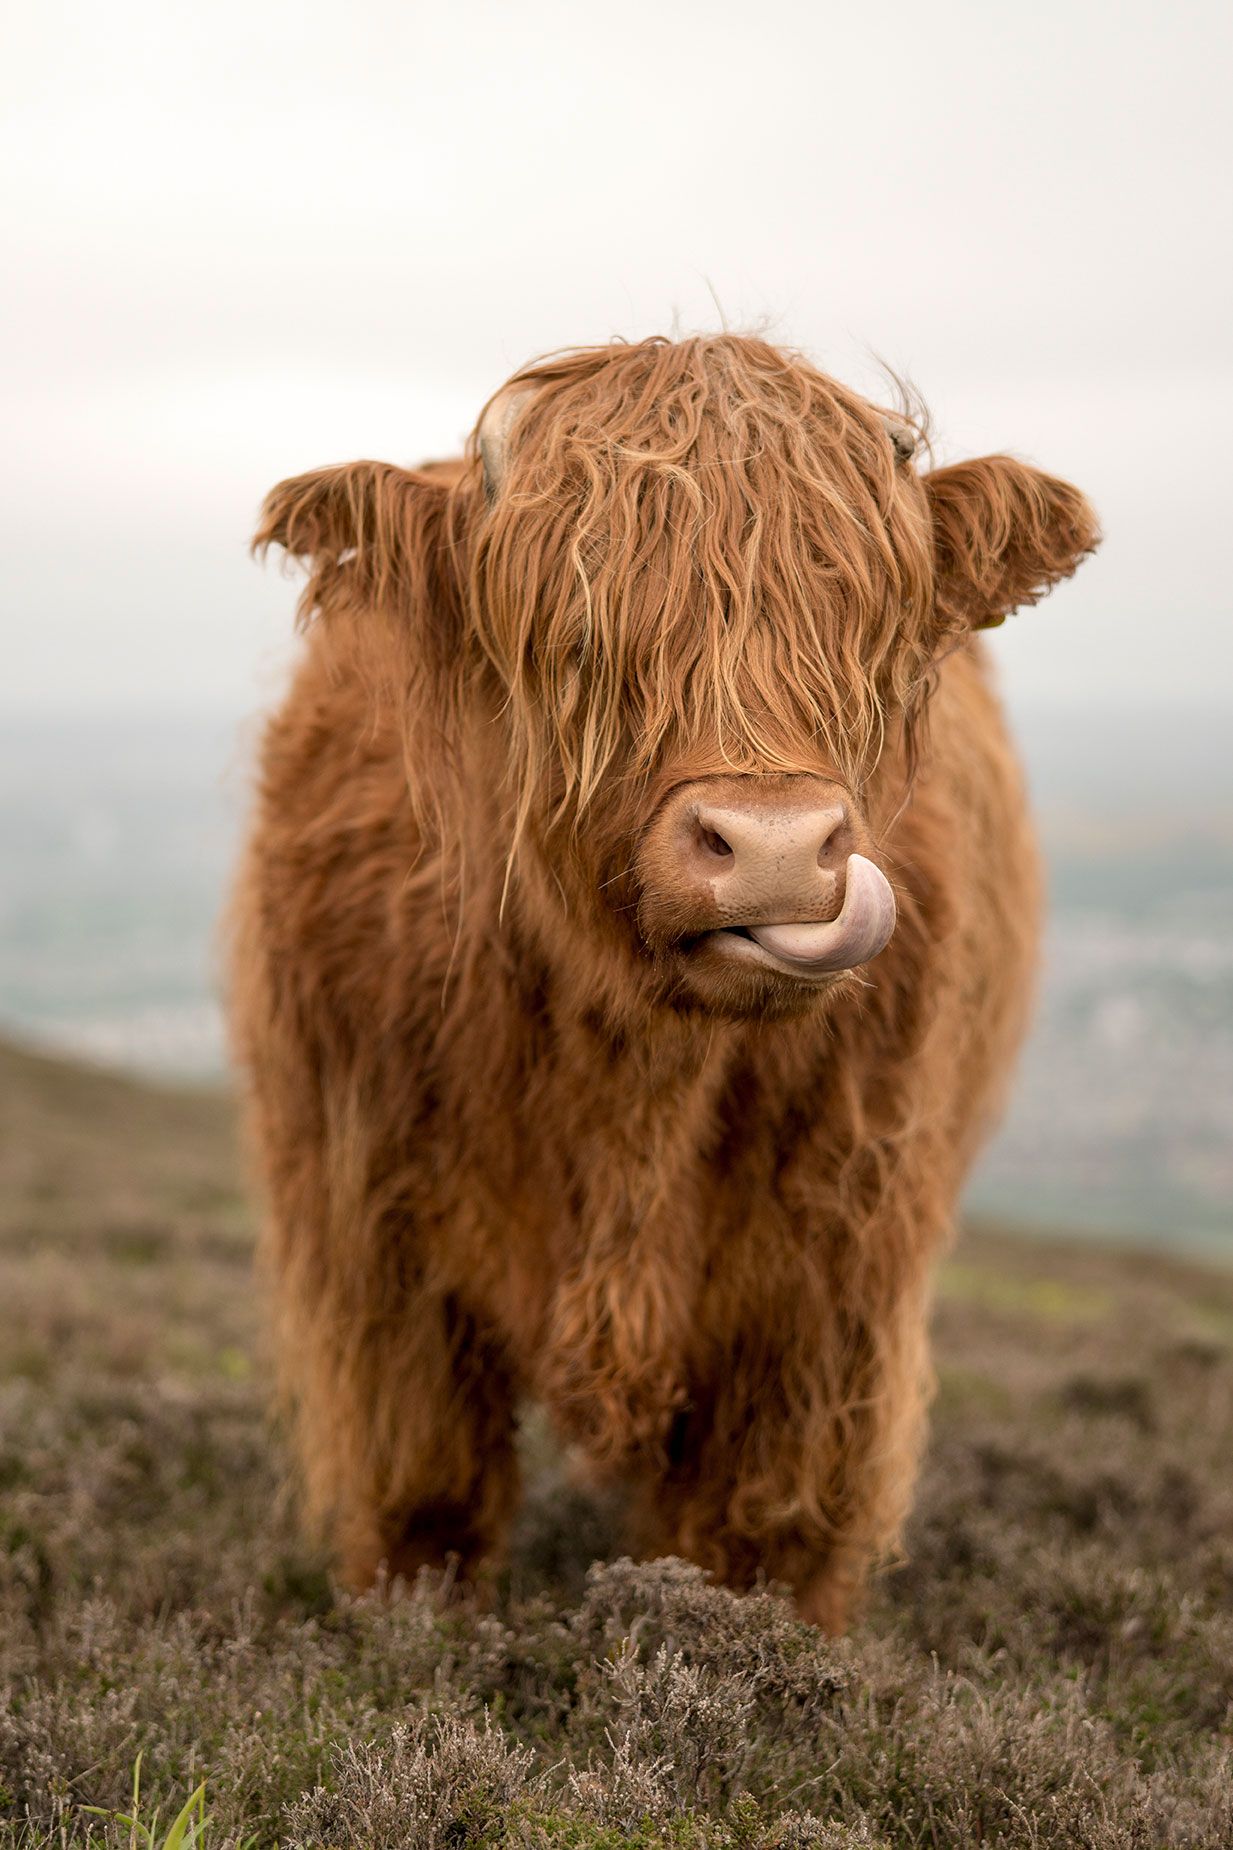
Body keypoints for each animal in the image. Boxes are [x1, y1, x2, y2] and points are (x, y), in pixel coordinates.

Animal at [229, 334, 1097, 1632]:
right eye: (576, 634)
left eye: (868, 633)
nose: (778, 846)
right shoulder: (377, 1252)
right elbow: (424, 1501)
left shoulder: (828, 1300)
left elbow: (758, 1545)